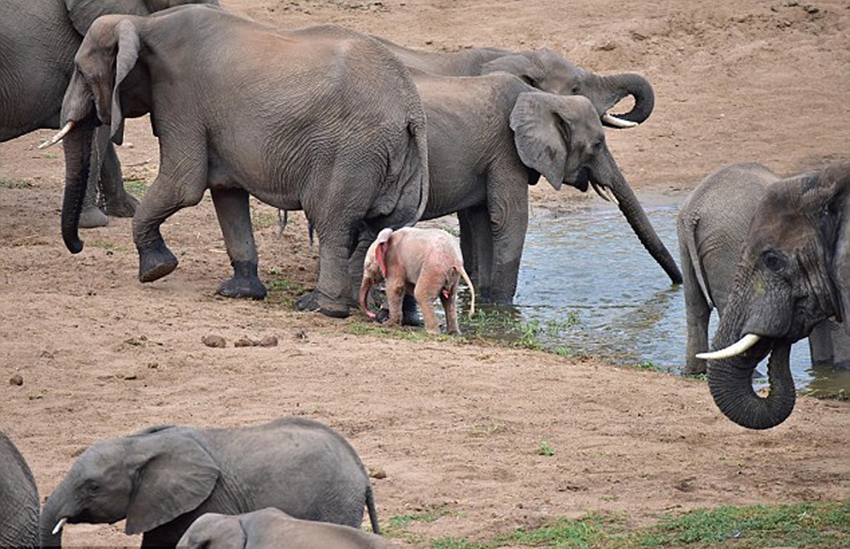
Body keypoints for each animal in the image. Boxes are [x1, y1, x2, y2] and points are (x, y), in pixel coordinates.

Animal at [50, 7, 429, 318]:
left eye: (80, 71)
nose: (79, 246)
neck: (144, 24)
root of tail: (410, 106)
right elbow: (226, 193)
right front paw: (239, 292)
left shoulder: (179, 96)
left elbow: (183, 184)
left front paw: (155, 270)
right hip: (395, 159)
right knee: (381, 227)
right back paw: (351, 304)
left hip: (350, 153)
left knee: (334, 223)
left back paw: (322, 308)